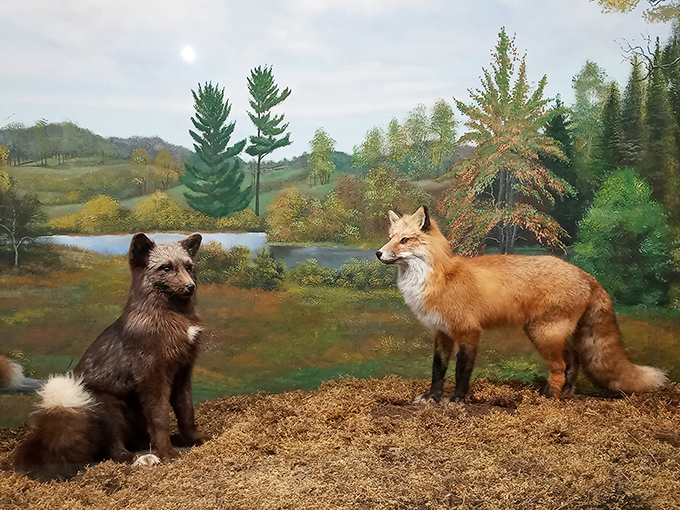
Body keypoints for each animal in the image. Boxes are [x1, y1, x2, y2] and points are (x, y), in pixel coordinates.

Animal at [12, 233, 207, 480]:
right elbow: (161, 418)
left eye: (189, 267)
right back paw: (142, 458)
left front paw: (194, 439)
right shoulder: (153, 376)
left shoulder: (183, 371)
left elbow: (186, 411)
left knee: (136, 440)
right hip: (108, 411)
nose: (190, 286)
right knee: (114, 451)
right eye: (166, 268)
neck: (175, 318)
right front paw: (168, 454)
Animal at [376, 206, 668, 403]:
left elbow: (461, 372)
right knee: (574, 361)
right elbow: (438, 370)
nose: (378, 253)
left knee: (560, 367)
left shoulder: (469, 333)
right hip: (555, 334)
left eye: (405, 240)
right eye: (390, 236)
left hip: (543, 334)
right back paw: (567, 393)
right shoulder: (442, 333)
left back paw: (549, 398)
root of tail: (586, 274)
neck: (439, 279)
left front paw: (457, 400)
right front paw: (432, 398)